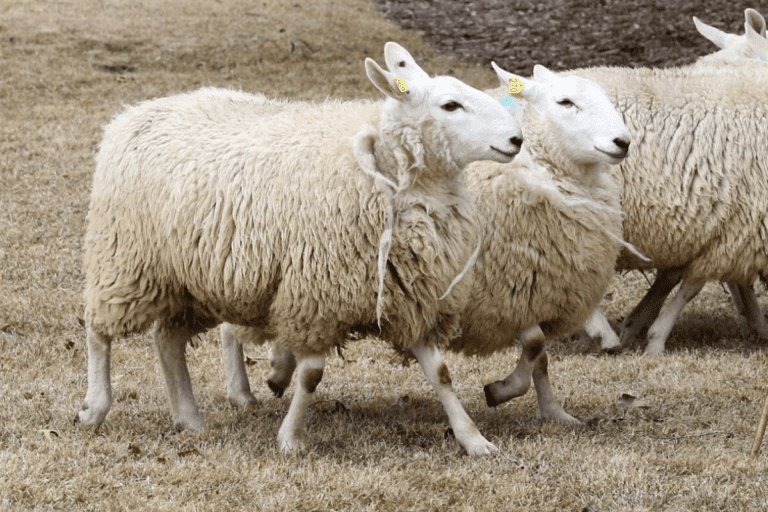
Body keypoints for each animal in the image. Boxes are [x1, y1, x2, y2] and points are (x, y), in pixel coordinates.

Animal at [74, 41, 524, 456]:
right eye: (450, 105)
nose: (517, 139)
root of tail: (135, 111)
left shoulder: (409, 296)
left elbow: (442, 374)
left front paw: (474, 440)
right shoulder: (316, 296)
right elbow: (310, 375)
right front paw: (290, 439)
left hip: (192, 280)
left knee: (167, 341)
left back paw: (189, 417)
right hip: (125, 260)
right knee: (98, 332)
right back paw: (94, 408)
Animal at [223, 59, 633, 423]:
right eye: (565, 102)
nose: (623, 142)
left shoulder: (534, 291)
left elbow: (541, 356)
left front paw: (553, 412)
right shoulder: (494, 292)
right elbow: (533, 346)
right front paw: (501, 391)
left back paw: (277, 371)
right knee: (231, 327)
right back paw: (243, 391)